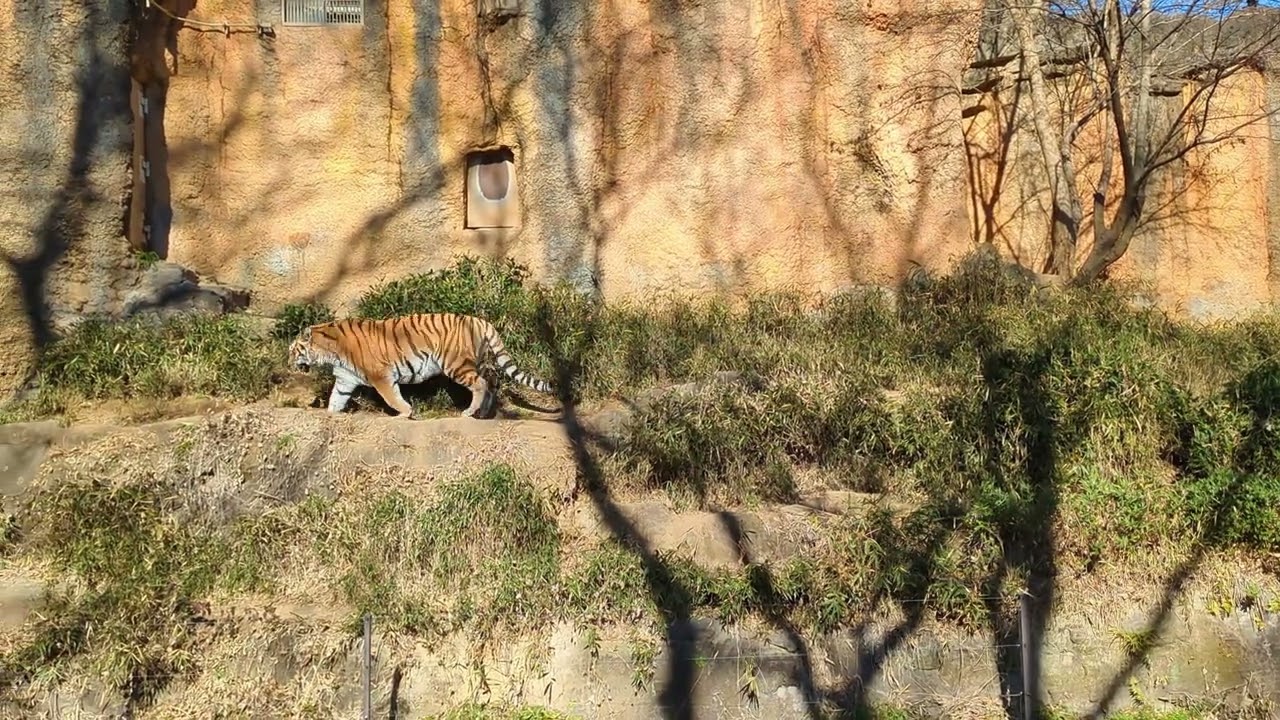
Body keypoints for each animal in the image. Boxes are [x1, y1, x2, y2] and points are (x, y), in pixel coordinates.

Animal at [287, 313, 555, 419]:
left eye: (293, 350)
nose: (288, 364)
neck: (330, 351)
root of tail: (479, 320)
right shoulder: (345, 379)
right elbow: (336, 399)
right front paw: (330, 414)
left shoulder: (381, 376)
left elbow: (393, 398)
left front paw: (405, 413)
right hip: (474, 362)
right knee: (490, 381)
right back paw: (483, 413)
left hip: (455, 364)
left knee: (480, 383)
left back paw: (469, 412)